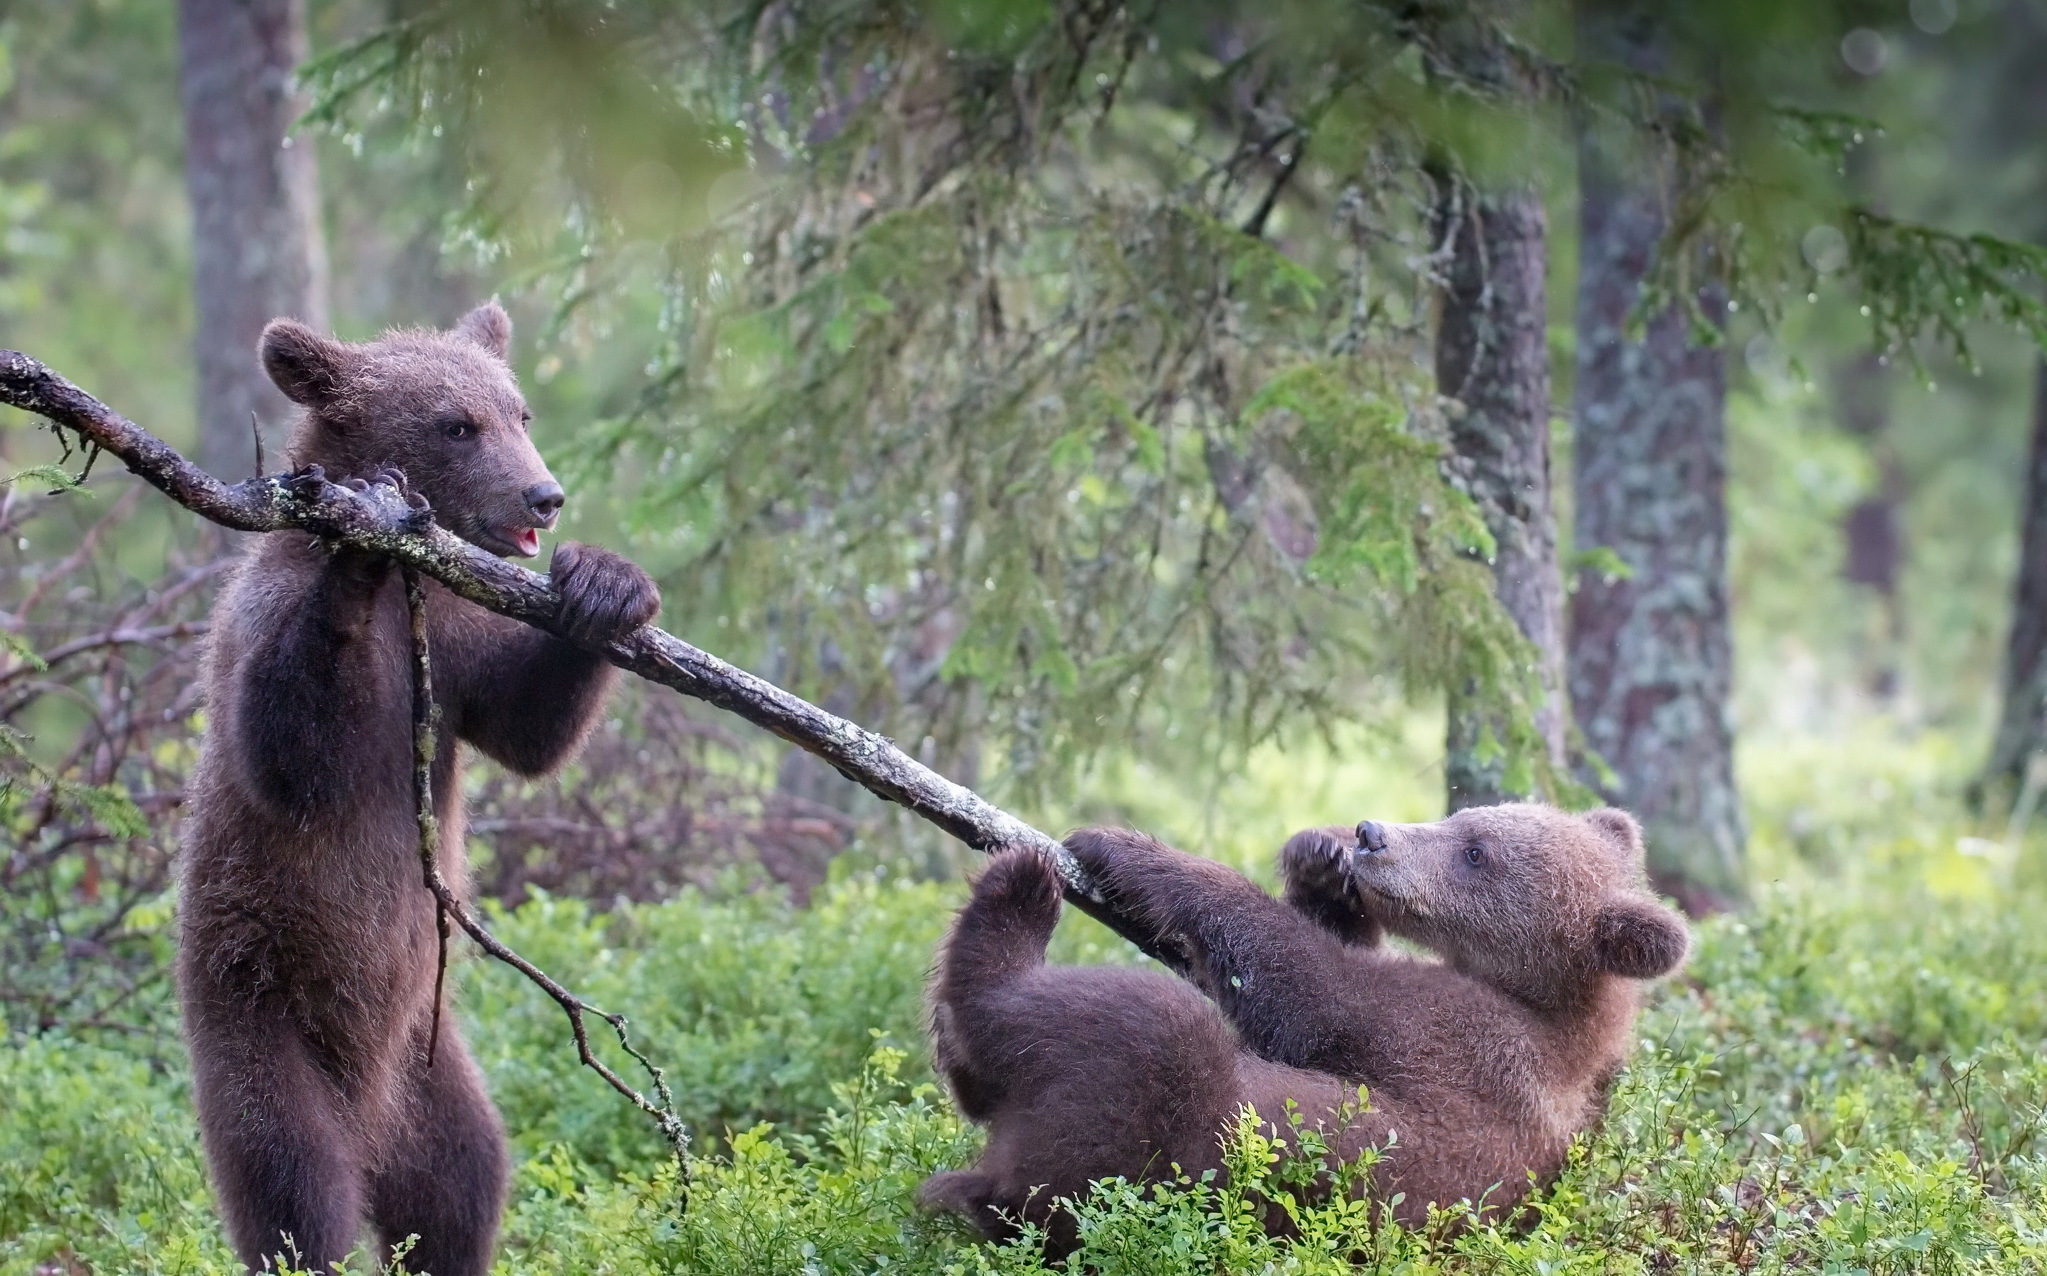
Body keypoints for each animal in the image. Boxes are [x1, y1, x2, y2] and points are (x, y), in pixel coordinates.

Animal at [177, 304, 659, 1276]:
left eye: (520, 412)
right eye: (454, 425)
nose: (542, 497)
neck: (417, 587)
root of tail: (368, 1114)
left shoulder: (461, 643)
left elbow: (526, 728)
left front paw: (605, 585)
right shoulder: (261, 625)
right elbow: (290, 754)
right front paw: (360, 551)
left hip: (426, 1062)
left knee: (461, 1181)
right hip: (259, 1013)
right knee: (295, 1191)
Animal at [919, 804, 1689, 1253]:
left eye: (1476, 851)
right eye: (1465, 811)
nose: (1372, 835)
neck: (1554, 1008)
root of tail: (997, 1182)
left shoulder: (1460, 1037)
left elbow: (1306, 982)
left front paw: (1127, 848)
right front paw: (1320, 863)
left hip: (1145, 1145)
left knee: (1133, 1028)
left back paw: (1018, 891)